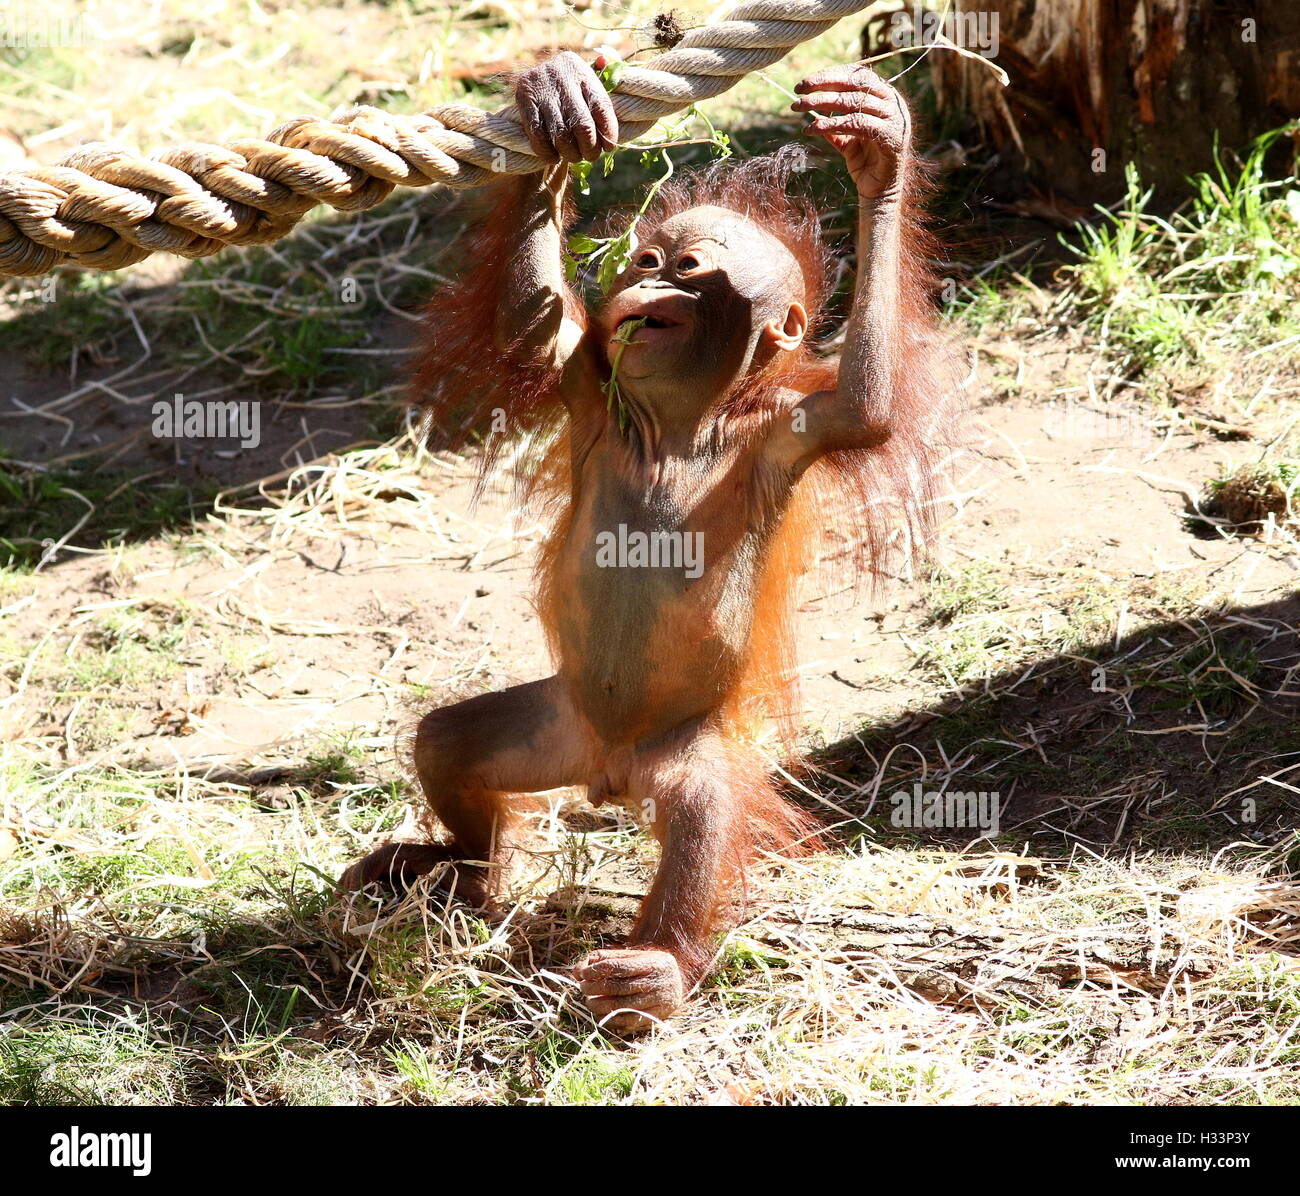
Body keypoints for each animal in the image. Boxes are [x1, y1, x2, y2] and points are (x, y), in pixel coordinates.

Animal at [341, 51, 955, 1033]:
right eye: (647, 258)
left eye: (688, 270)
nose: (641, 287)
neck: (677, 426)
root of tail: (608, 775)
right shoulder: (589, 383)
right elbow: (528, 326)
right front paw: (555, 101)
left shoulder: (791, 432)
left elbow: (868, 406)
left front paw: (879, 157)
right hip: (553, 725)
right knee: (448, 743)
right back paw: (457, 873)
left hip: (677, 753)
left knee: (703, 818)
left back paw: (653, 972)